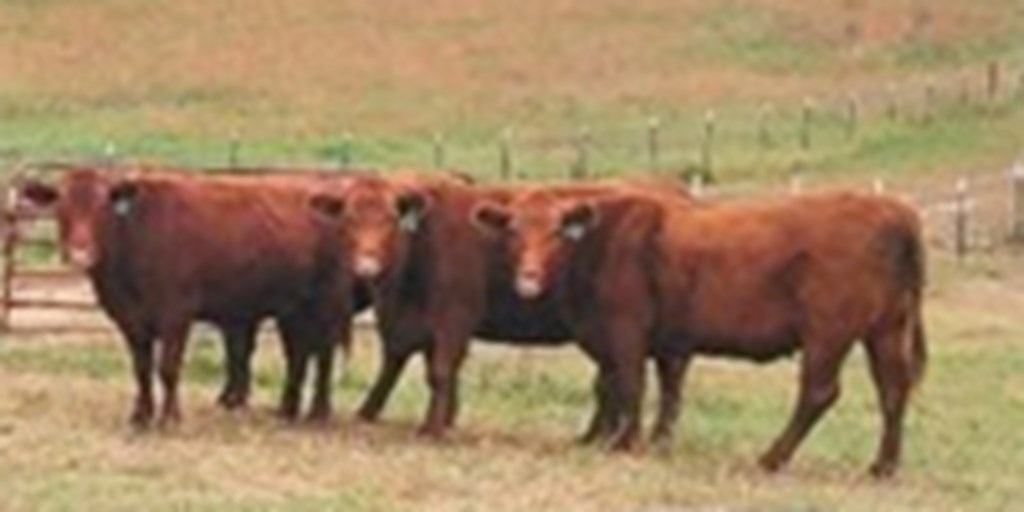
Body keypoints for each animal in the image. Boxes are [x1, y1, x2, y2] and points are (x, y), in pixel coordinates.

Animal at [18, 166, 361, 427]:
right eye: (60, 207)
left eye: (103, 207)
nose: (80, 254)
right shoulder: (131, 321)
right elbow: (141, 369)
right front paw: (141, 415)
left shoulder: (175, 314)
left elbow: (168, 367)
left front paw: (170, 417)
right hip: (293, 310)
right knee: (298, 353)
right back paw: (287, 410)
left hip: (326, 303)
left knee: (324, 355)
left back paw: (319, 412)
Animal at [307, 173, 692, 442]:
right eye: (348, 219)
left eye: (389, 220)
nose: (366, 264)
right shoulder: (408, 321)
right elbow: (403, 365)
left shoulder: (454, 316)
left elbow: (439, 370)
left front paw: (433, 427)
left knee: (666, 382)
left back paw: (655, 437)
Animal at [472, 189, 926, 477]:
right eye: (513, 230)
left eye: (556, 231)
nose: (528, 276)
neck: (603, 242)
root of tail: (892, 210)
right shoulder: (664, 343)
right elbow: (653, 391)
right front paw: (641, 441)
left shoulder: (625, 332)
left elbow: (629, 386)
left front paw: (625, 443)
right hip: (886, 329)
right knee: (893, 391)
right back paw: (883, 466)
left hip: (828, 333)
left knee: (818, 393)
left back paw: (772, 458)